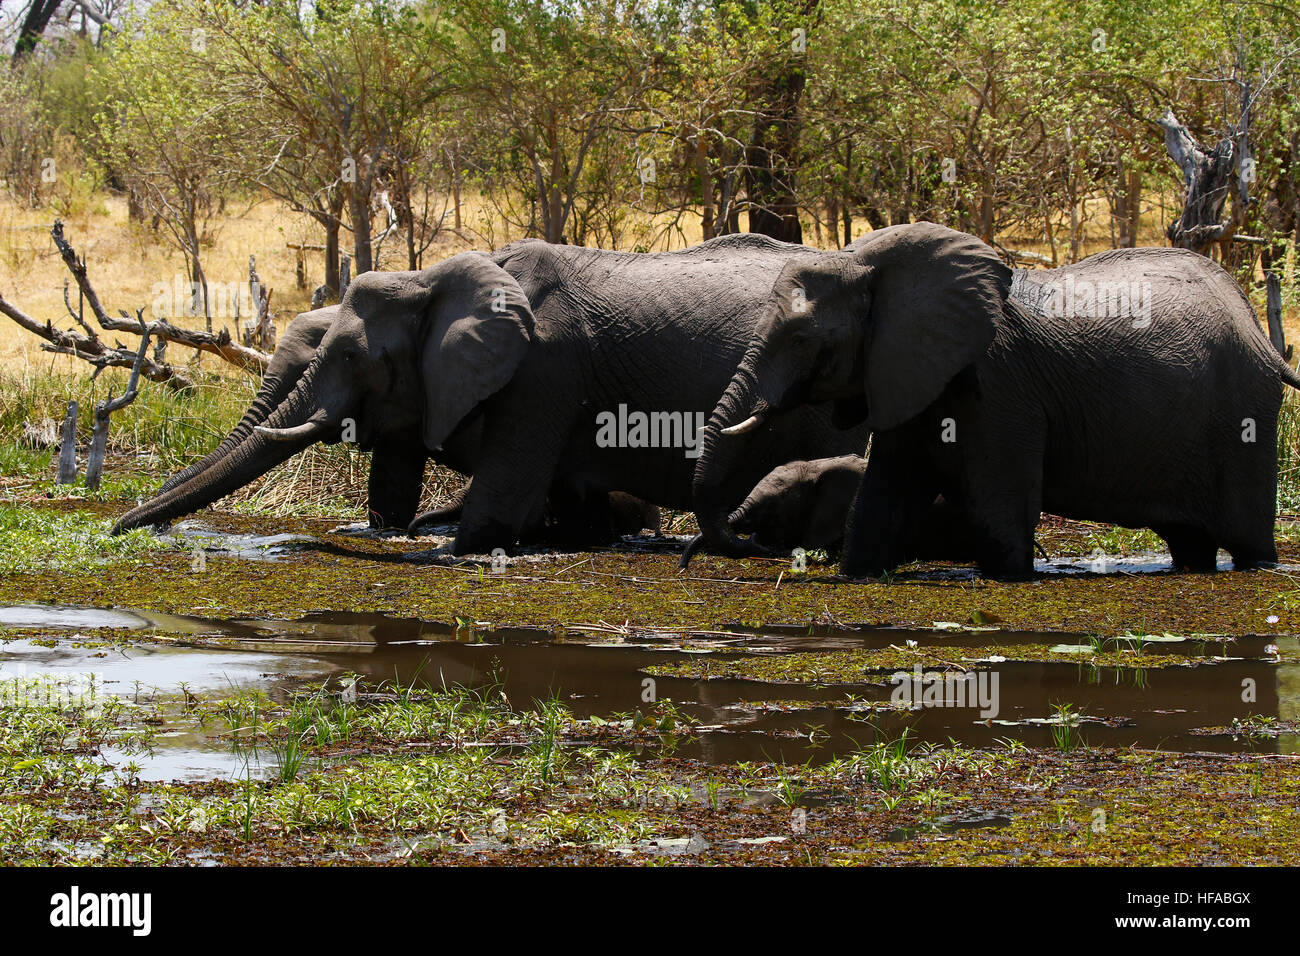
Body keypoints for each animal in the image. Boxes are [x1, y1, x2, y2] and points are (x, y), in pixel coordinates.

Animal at [114, 235, 872, 549]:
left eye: (353, 355)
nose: (118, 525)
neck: (433, 274)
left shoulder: (545, 368)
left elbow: (503, 498)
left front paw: (453, 544)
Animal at [686, 222, 1300, 578]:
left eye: (801, 339)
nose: (757, 550)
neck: (865, 261)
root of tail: (1253, 321)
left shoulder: (999, 383)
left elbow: (993, 507)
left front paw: (1011, 576)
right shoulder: (909, 373)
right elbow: (882, 497)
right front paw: (858, 575)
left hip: (1244, 415)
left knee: (1248, 539)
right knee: (1190, 543)